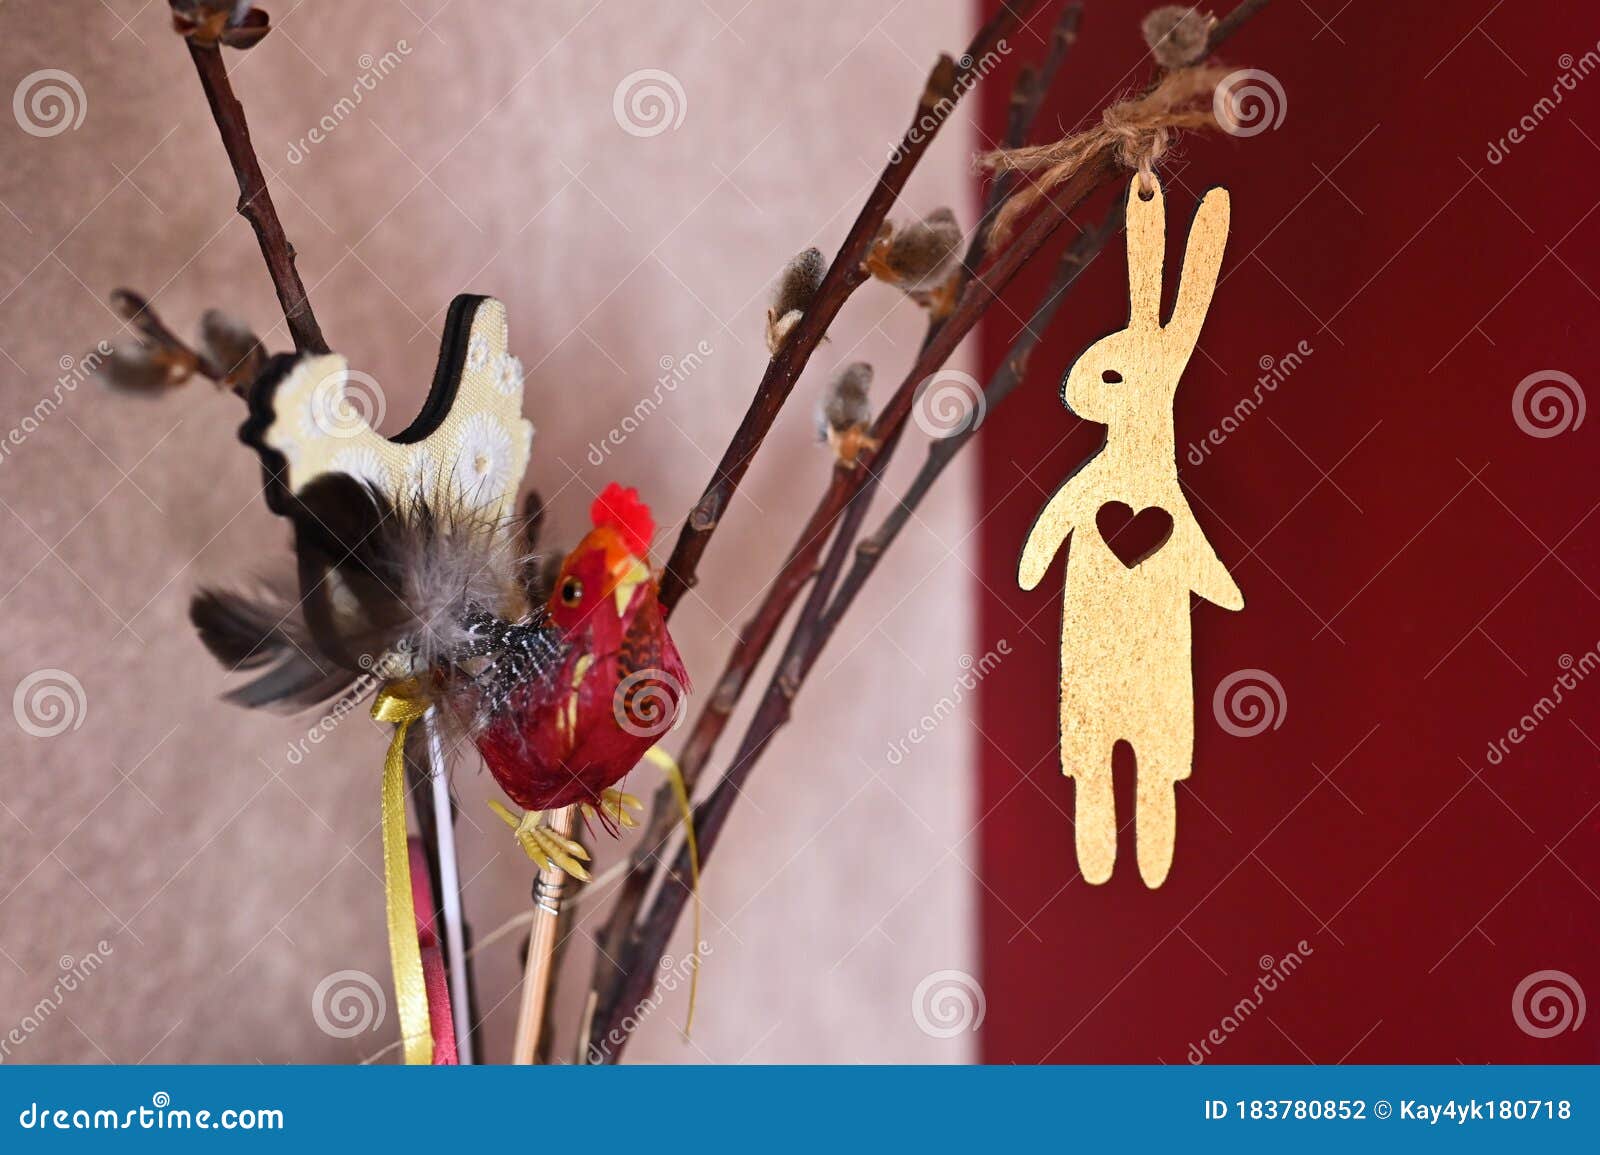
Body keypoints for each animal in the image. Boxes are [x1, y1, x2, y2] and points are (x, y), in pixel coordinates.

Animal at [1018, 176, 1244, 889]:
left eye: (1114, 373)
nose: (1074, 389)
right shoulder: (1078, 496)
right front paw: (1029, 573)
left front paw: (1229, 594)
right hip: (1087, 731)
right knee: (1096, 777)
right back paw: (1099, 861)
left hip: (1162, 727)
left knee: (1152, 781)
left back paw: (1147, 866)